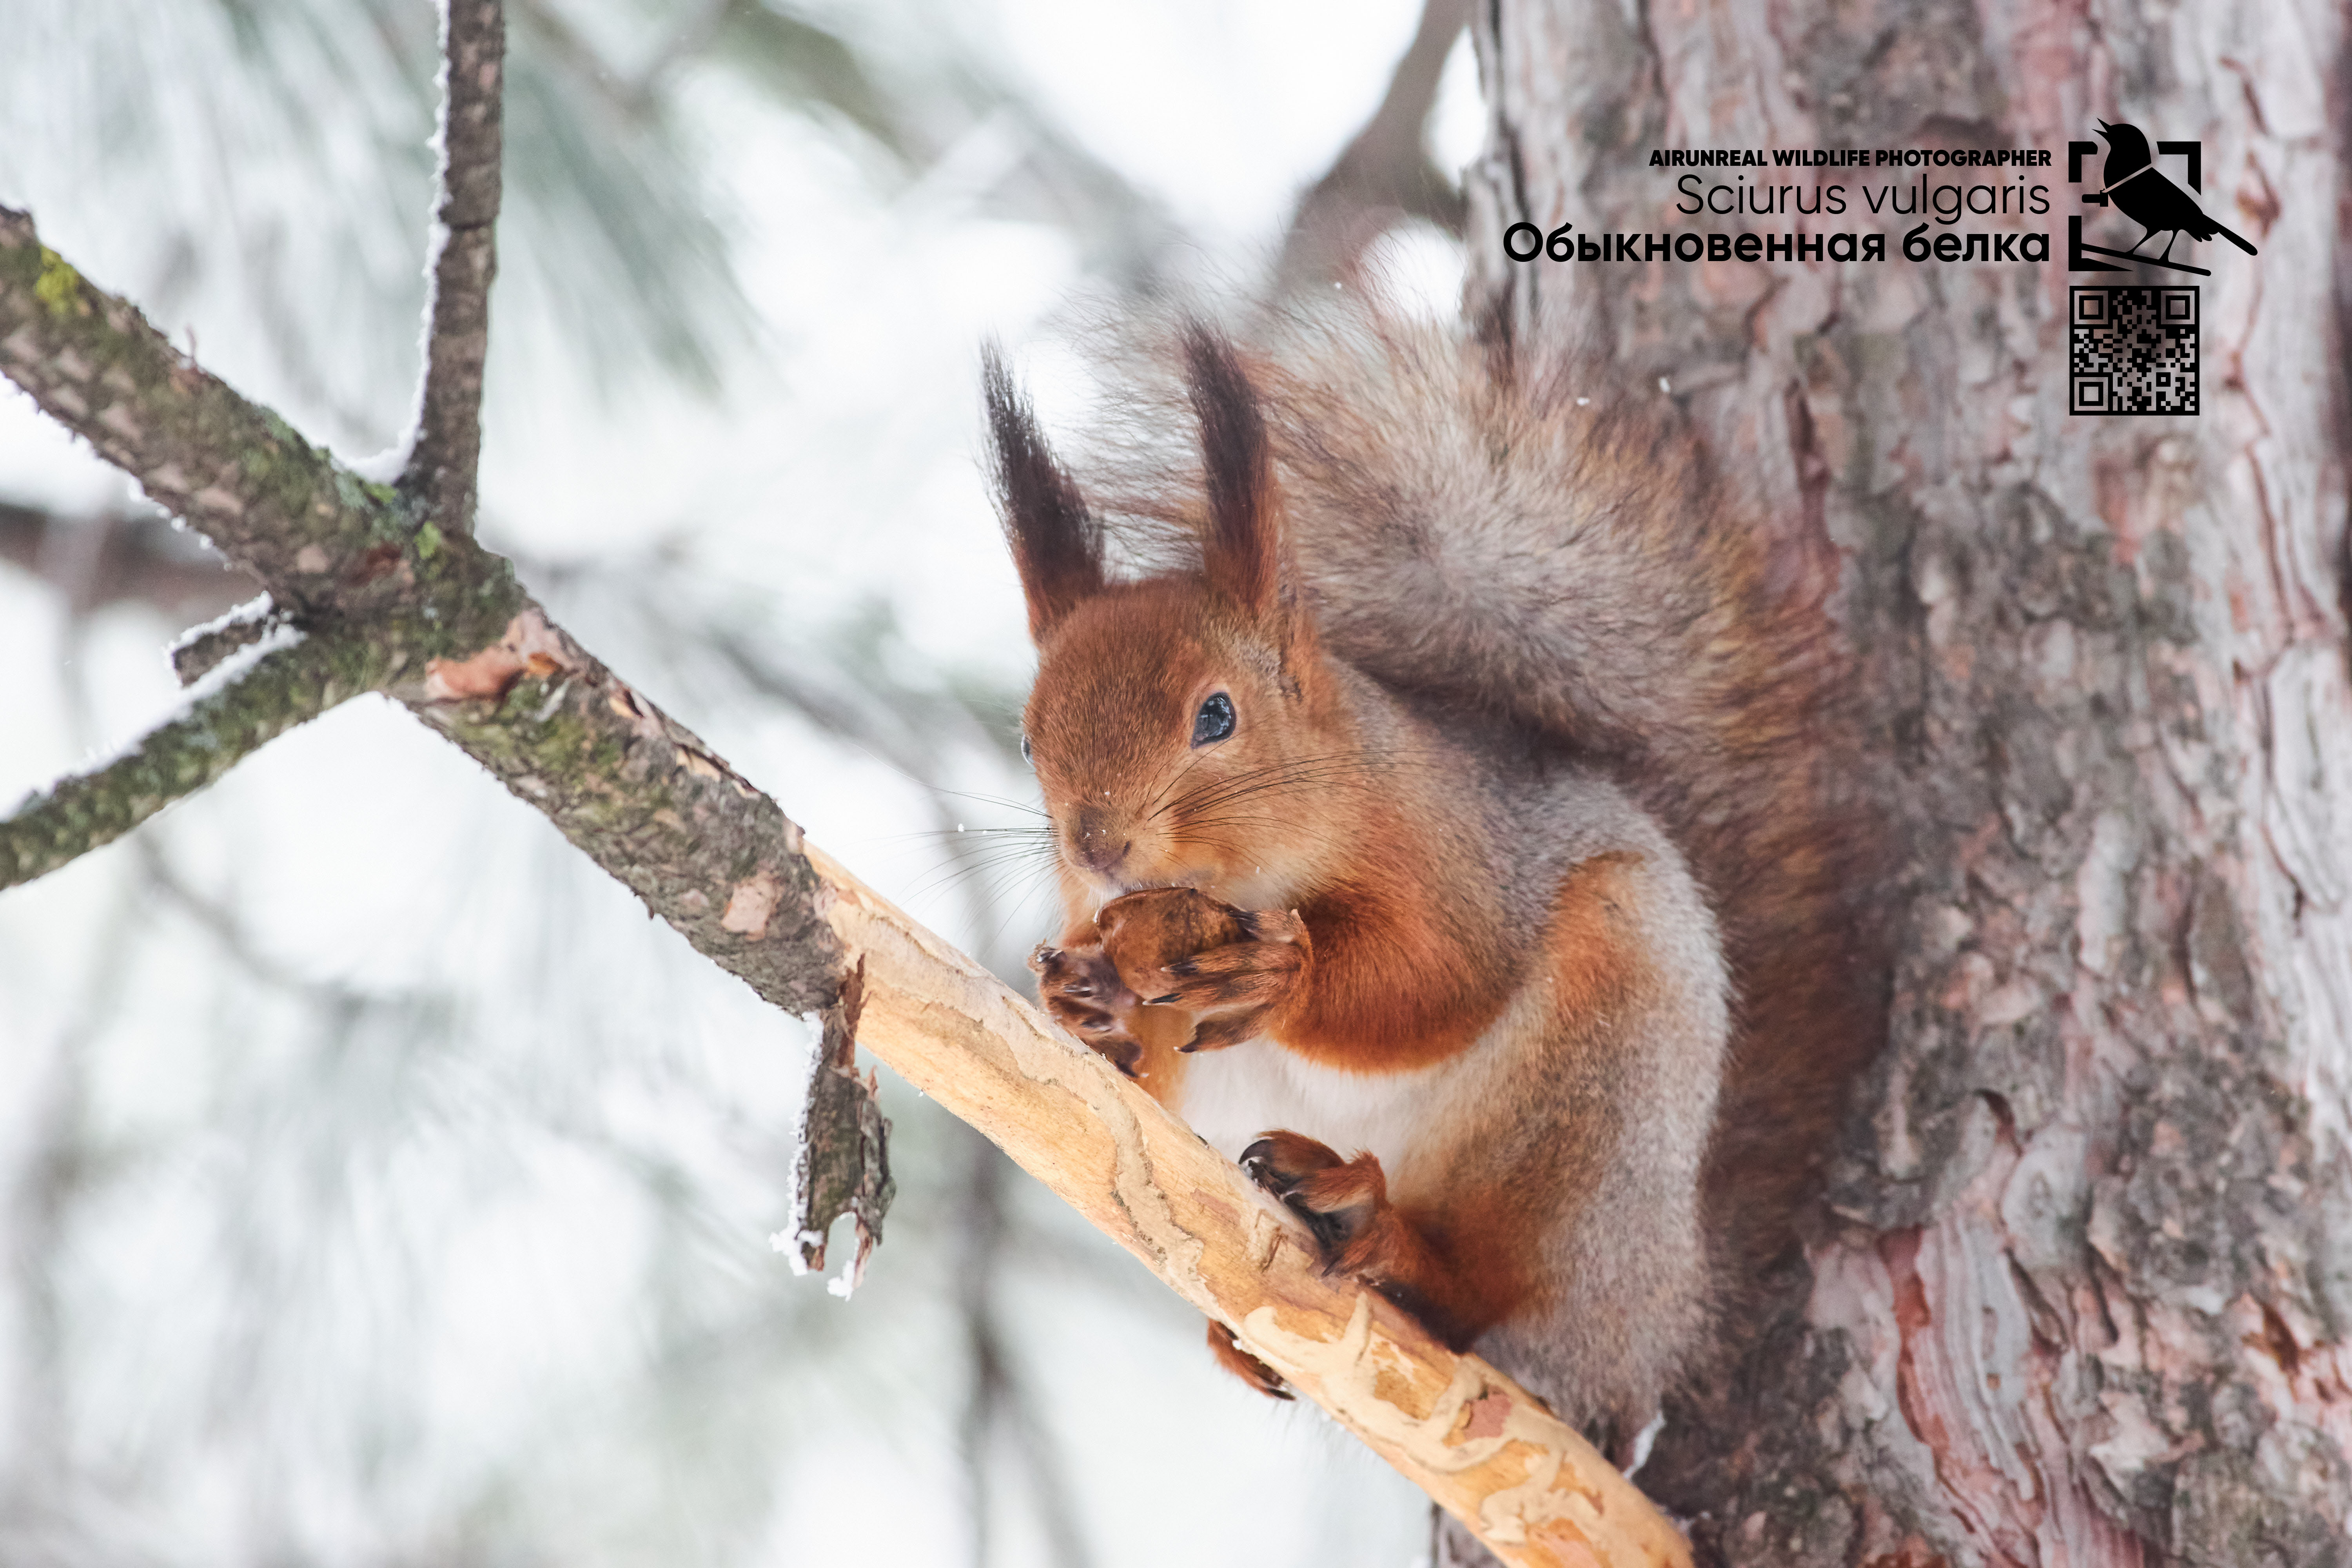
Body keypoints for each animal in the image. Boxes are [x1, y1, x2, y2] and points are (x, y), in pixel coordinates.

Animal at [983, 310, 1882, 1457]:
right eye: (1028, 739)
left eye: (1217, 715)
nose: (1096, 846)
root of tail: (1669, 1311)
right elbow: (1132, 1093)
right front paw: (1080, 1001)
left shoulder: (1450, 852)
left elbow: (1438, 982)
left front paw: (1284, 977)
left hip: (1594, 1092)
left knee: (1491, 1289)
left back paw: (1396, 1245)